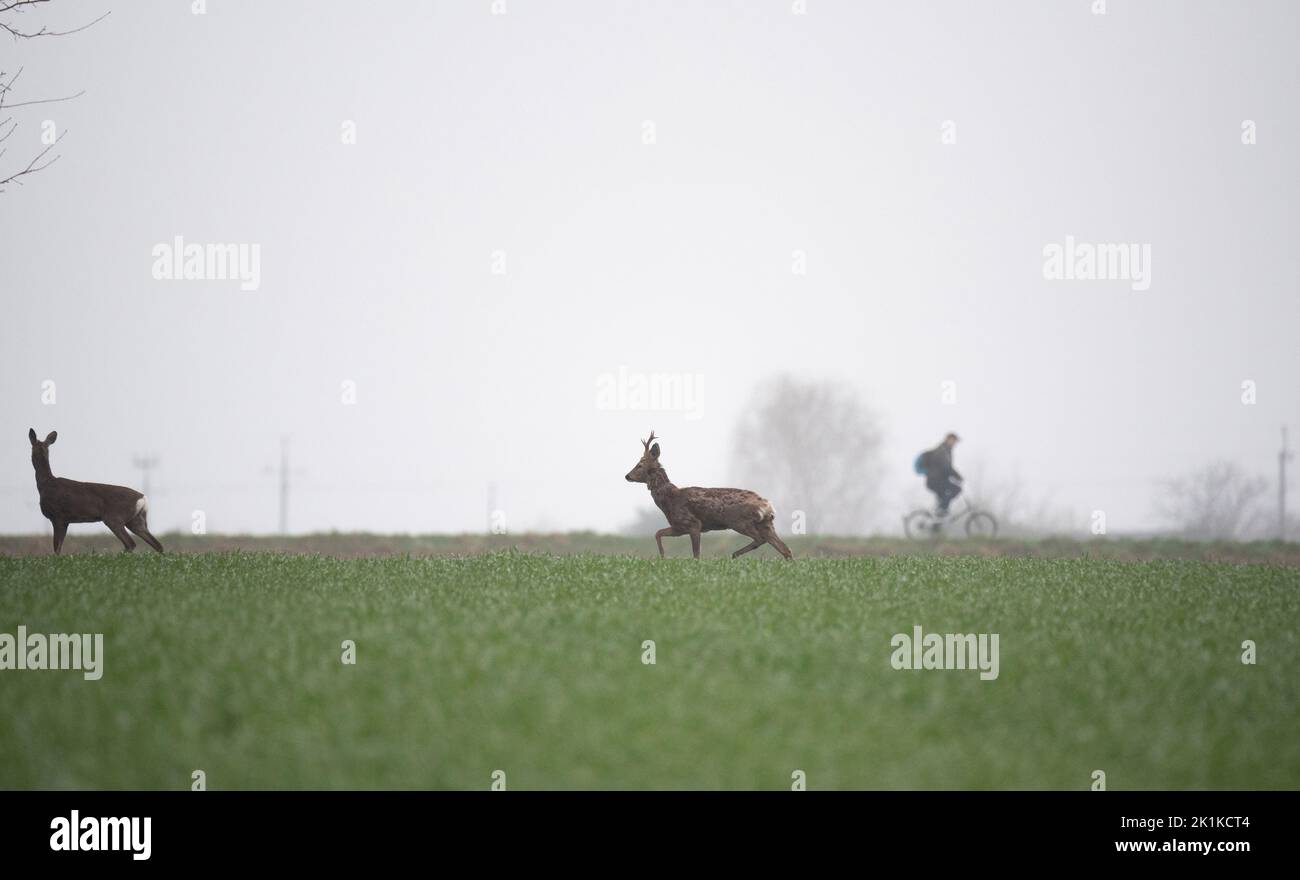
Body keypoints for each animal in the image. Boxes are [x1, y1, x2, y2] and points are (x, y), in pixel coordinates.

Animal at [28, 429, 165, 555]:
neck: (46, 484)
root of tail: (143, 498)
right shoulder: (65, 520)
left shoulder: (57, 516)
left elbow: (57, 548)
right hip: (136, 520)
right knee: (157, 544)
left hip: (114, 518)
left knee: (131, 543)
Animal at [625, 431, 792, 560]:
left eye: (639, 465)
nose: (627, 476)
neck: (669, 499)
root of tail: (767, 505)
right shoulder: (678, 526)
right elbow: (657, 533)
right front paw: (662, 557)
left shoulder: (693, 523)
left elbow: (696, 554)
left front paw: (666, 557)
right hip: (766, 524)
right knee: (785, 549)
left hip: (740, 521)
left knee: (761, 539)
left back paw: (734, 554)